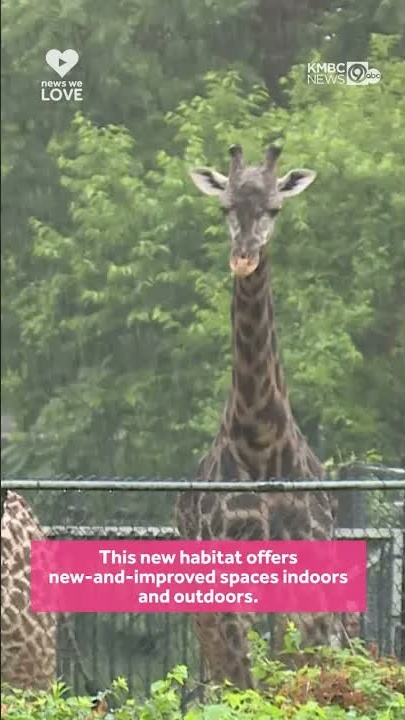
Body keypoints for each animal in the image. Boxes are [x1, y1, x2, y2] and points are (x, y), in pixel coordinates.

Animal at [176, 144, 342, 689]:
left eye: (274, 208)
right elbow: (248, 687)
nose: (243, 257)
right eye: (225, 208)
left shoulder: (312, 579)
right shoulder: (230, 590)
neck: (263, 440)